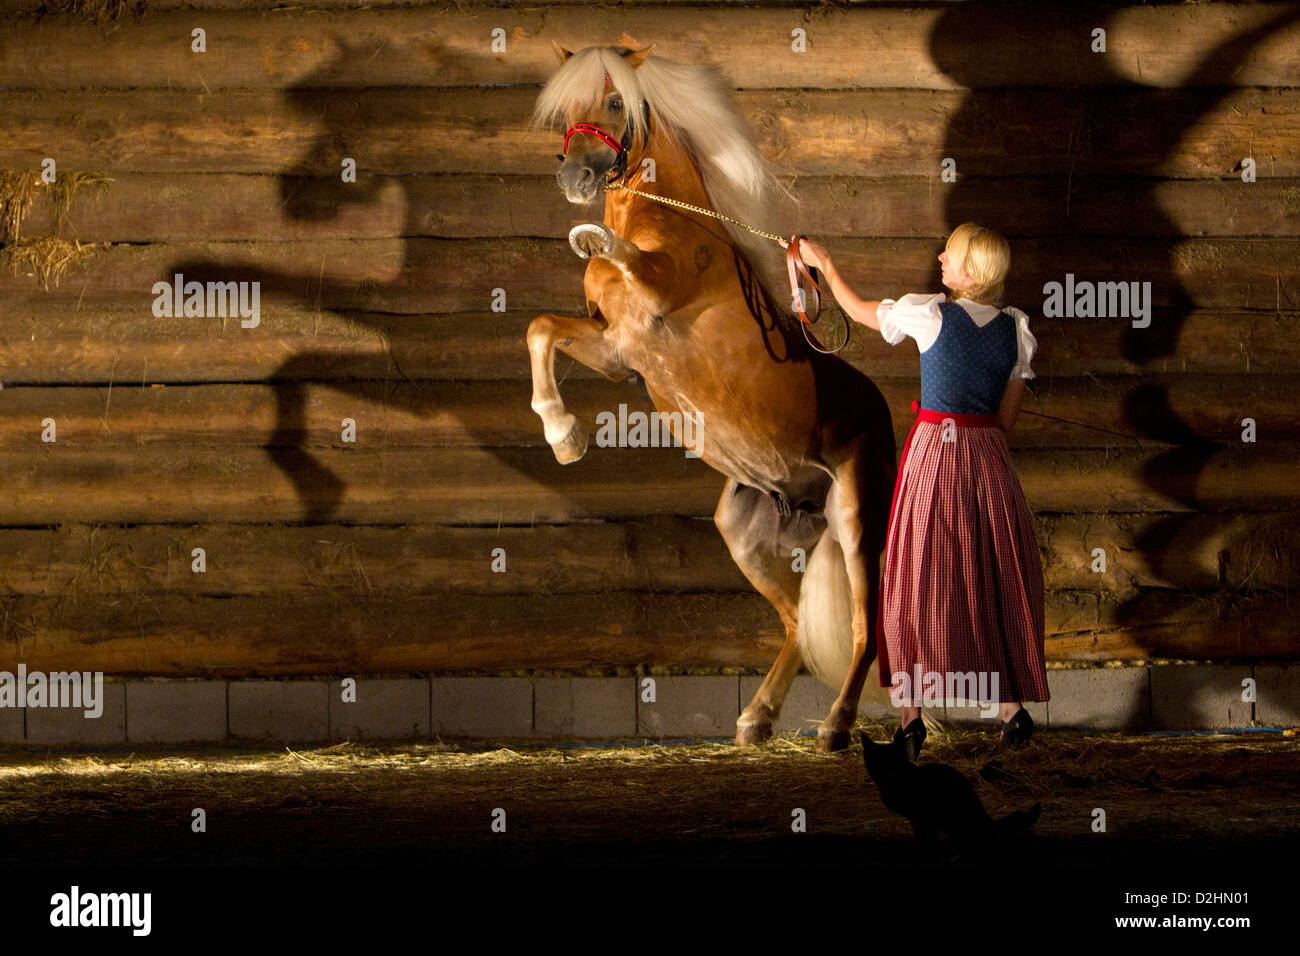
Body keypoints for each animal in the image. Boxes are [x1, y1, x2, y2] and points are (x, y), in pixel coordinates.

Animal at [527, 43, 896, 752]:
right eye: (563, 111)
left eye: (614, 101)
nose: (575, 178)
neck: (663, 216)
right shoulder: (617, 352)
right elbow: (541, 330)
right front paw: (564, 437)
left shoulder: (659, 294)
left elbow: (616, 259)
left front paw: (592, 239)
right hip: (744, 533)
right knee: (794, 622)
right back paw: (757, 718)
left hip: (857, 521)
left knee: (868, 631)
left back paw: (835, 727)